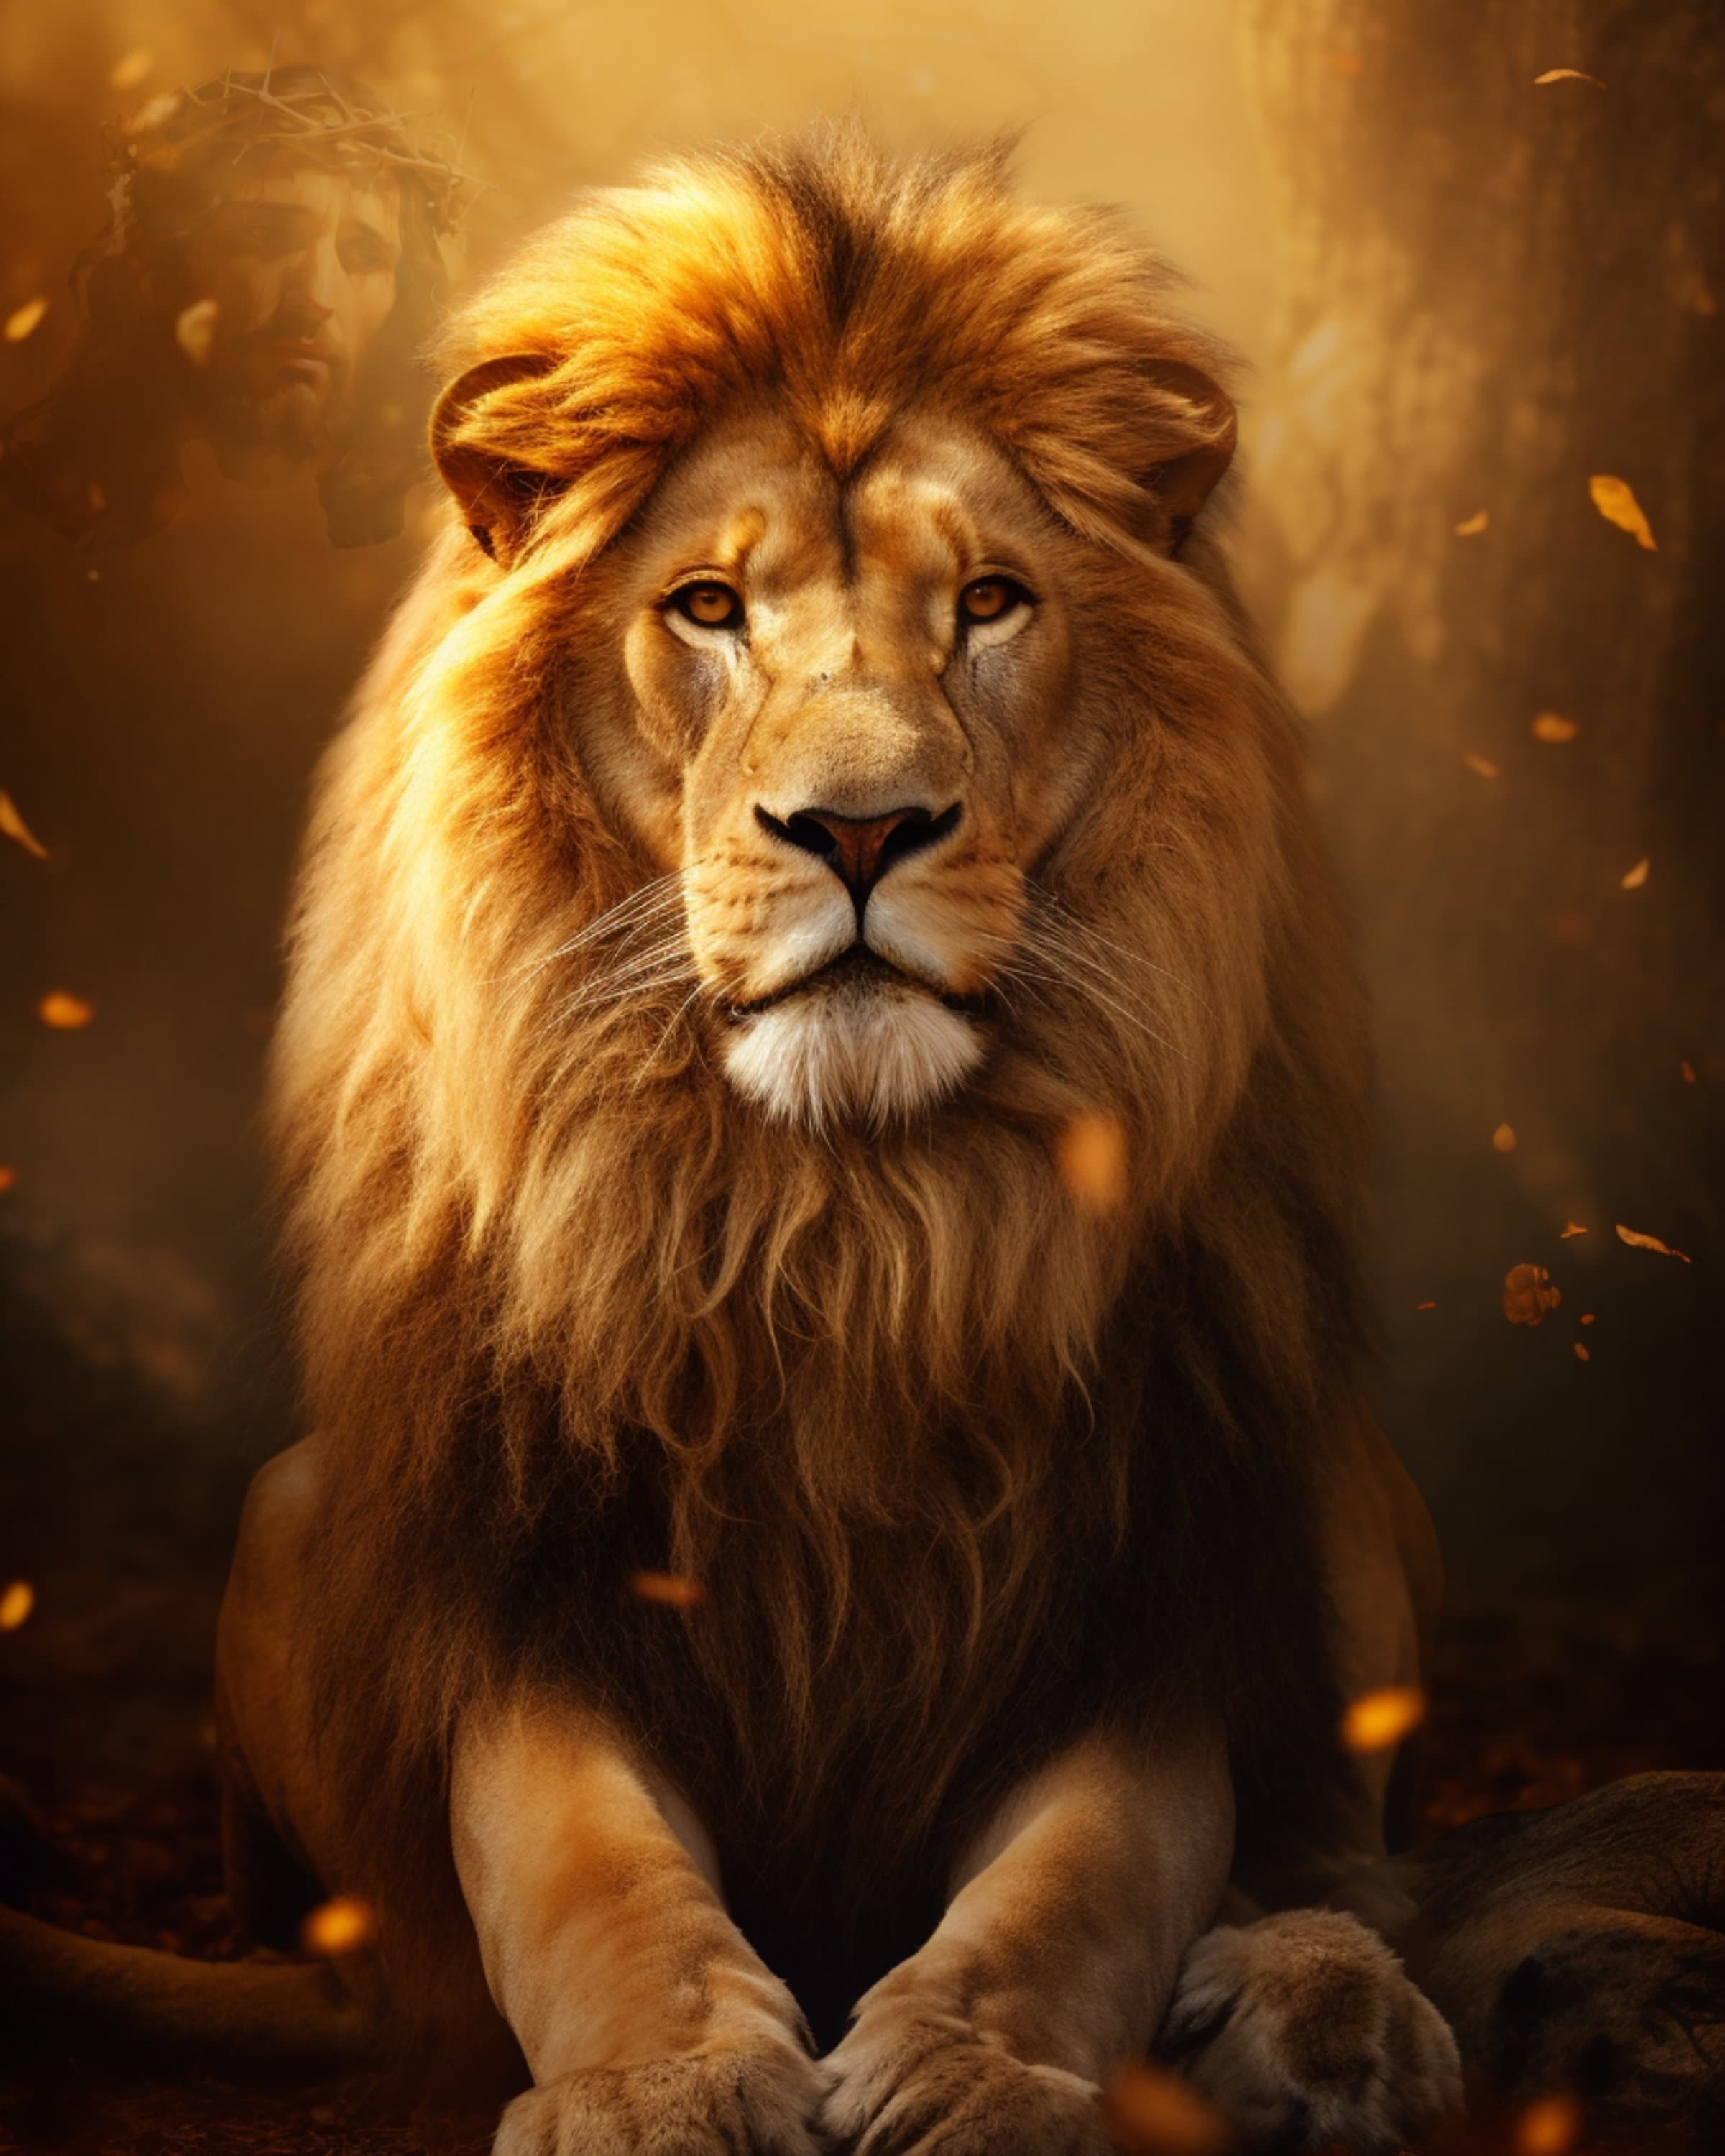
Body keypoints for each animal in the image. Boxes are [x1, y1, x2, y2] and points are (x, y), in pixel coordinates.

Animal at [5, 129, 1722, 2153]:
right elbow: (585, 1874)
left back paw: (1319, 2016)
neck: (840, 1224)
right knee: (382, 1985)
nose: (859, 827)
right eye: (706, 609)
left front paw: (976, 2074)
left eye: (986, 602)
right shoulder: (523, 1601)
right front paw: (658, 2085)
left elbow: (1087, 1881)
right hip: (298, 1512)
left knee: (1353, 1873)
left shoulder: (1136, 1613)